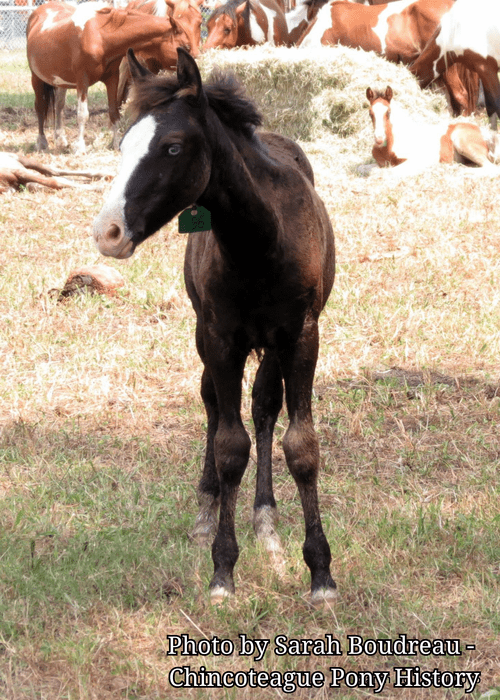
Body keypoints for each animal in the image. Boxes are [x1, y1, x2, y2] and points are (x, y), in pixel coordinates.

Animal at [26, 1, 193, 154]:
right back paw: (41, 142)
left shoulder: (112, 79)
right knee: (40, 107)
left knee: (59, 107)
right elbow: (82, 114)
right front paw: (80, 147)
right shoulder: (82, 81)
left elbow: (114, 112)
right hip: (36, 78)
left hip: (61, 82)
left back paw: (61, 139)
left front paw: (116, 144)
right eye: (185, 46)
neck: (100, 35)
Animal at [93, 48, 337, 605]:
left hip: (272, 345)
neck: (259, 244)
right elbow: (229, 447)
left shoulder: (301, 336)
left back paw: (265, 517)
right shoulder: (220, 339)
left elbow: (300, 444)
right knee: (211, 406)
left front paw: (320, 573)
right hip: (207, 336)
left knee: (265, 406)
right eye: (122, 145)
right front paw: (222, 570)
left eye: (172, 146)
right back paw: (208, 510)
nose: (108, 232)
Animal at [366, 85, 500, 176]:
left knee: (491, 168)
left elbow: (387, 172)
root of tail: (485, 134)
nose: (379, 139)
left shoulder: (418, 160)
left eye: (388, 112)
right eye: (370, 114)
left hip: (461, 141)